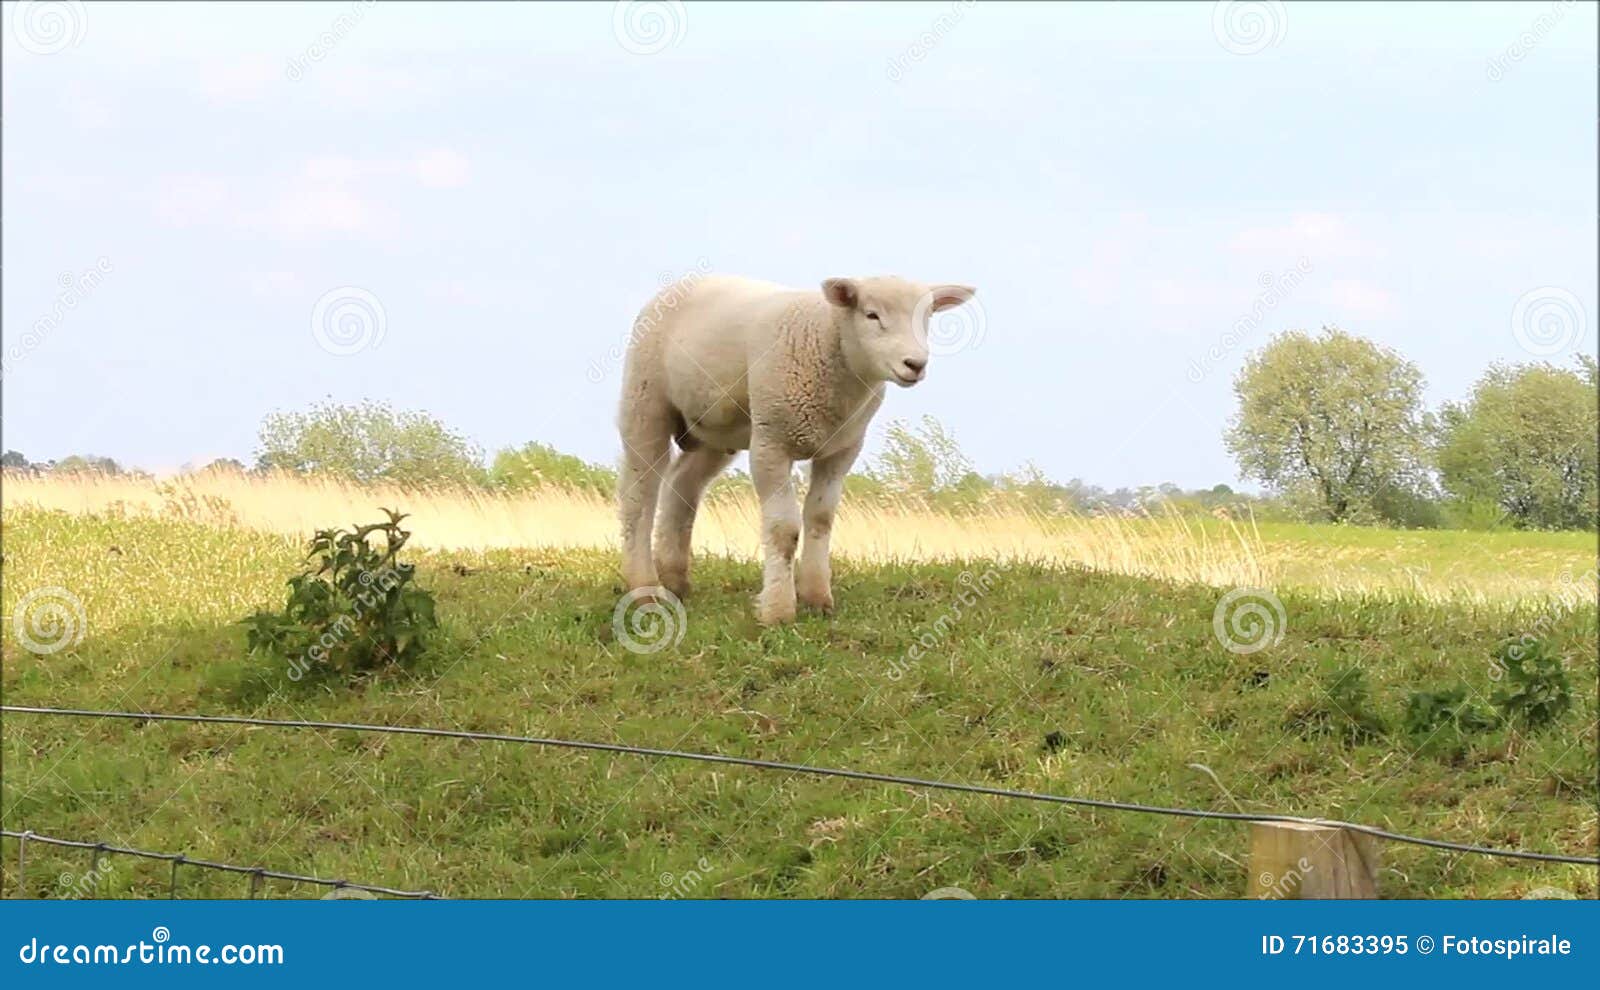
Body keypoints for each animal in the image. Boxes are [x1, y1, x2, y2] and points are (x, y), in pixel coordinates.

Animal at [616, 274, 978, 624]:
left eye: (927, 317)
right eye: (871, 315)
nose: (915, 364)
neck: (827, 337)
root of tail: (683, 284)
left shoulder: (842, 450)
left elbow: (821, 519)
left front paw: (817, 597)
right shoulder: (771, 443)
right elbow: (783, 529)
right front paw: (778, 609)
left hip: (715, 430)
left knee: (682, 487)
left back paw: (675, 580)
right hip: (645, 402)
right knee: (639, 497)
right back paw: (646, 588)